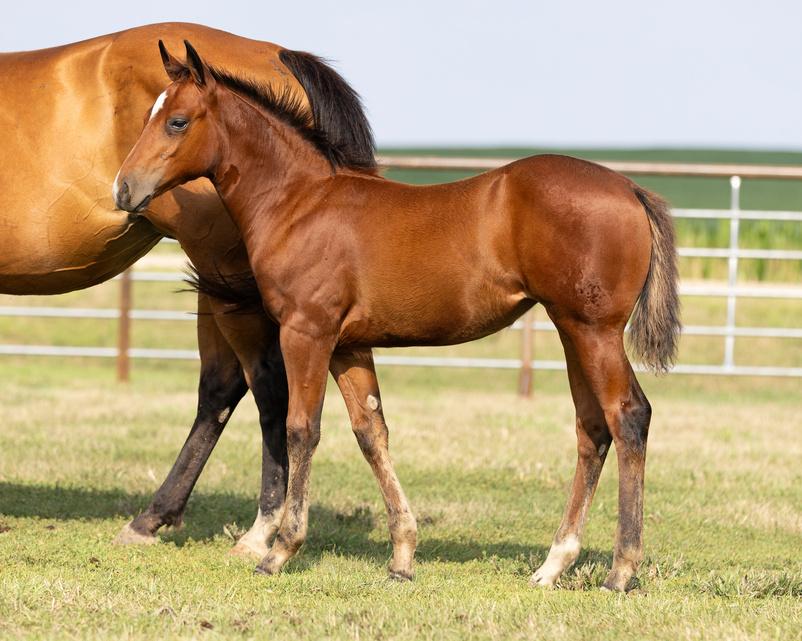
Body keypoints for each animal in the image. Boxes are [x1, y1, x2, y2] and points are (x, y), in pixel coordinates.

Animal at [0, 23, 383, 561]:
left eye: (177, 122)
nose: (122, 188)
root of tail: (279, 55)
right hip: (216, 283)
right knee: (222, 389)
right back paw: (155, 518)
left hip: (228, 283)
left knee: (263, 389)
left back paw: (258, 529)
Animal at [114, 41, 681, 591]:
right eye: (150, 114)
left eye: (177, 121)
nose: (123, 189)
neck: (300, 203)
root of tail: (630, 190)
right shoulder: (348, 346)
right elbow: (372, 432)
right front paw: (402, 558)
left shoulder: (306, 333)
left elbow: (302, 429)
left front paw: (280, 551)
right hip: (570, 330)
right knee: (593, 427)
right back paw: (553, 565)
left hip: (594, 331)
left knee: (628, 416)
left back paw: (620, 570)